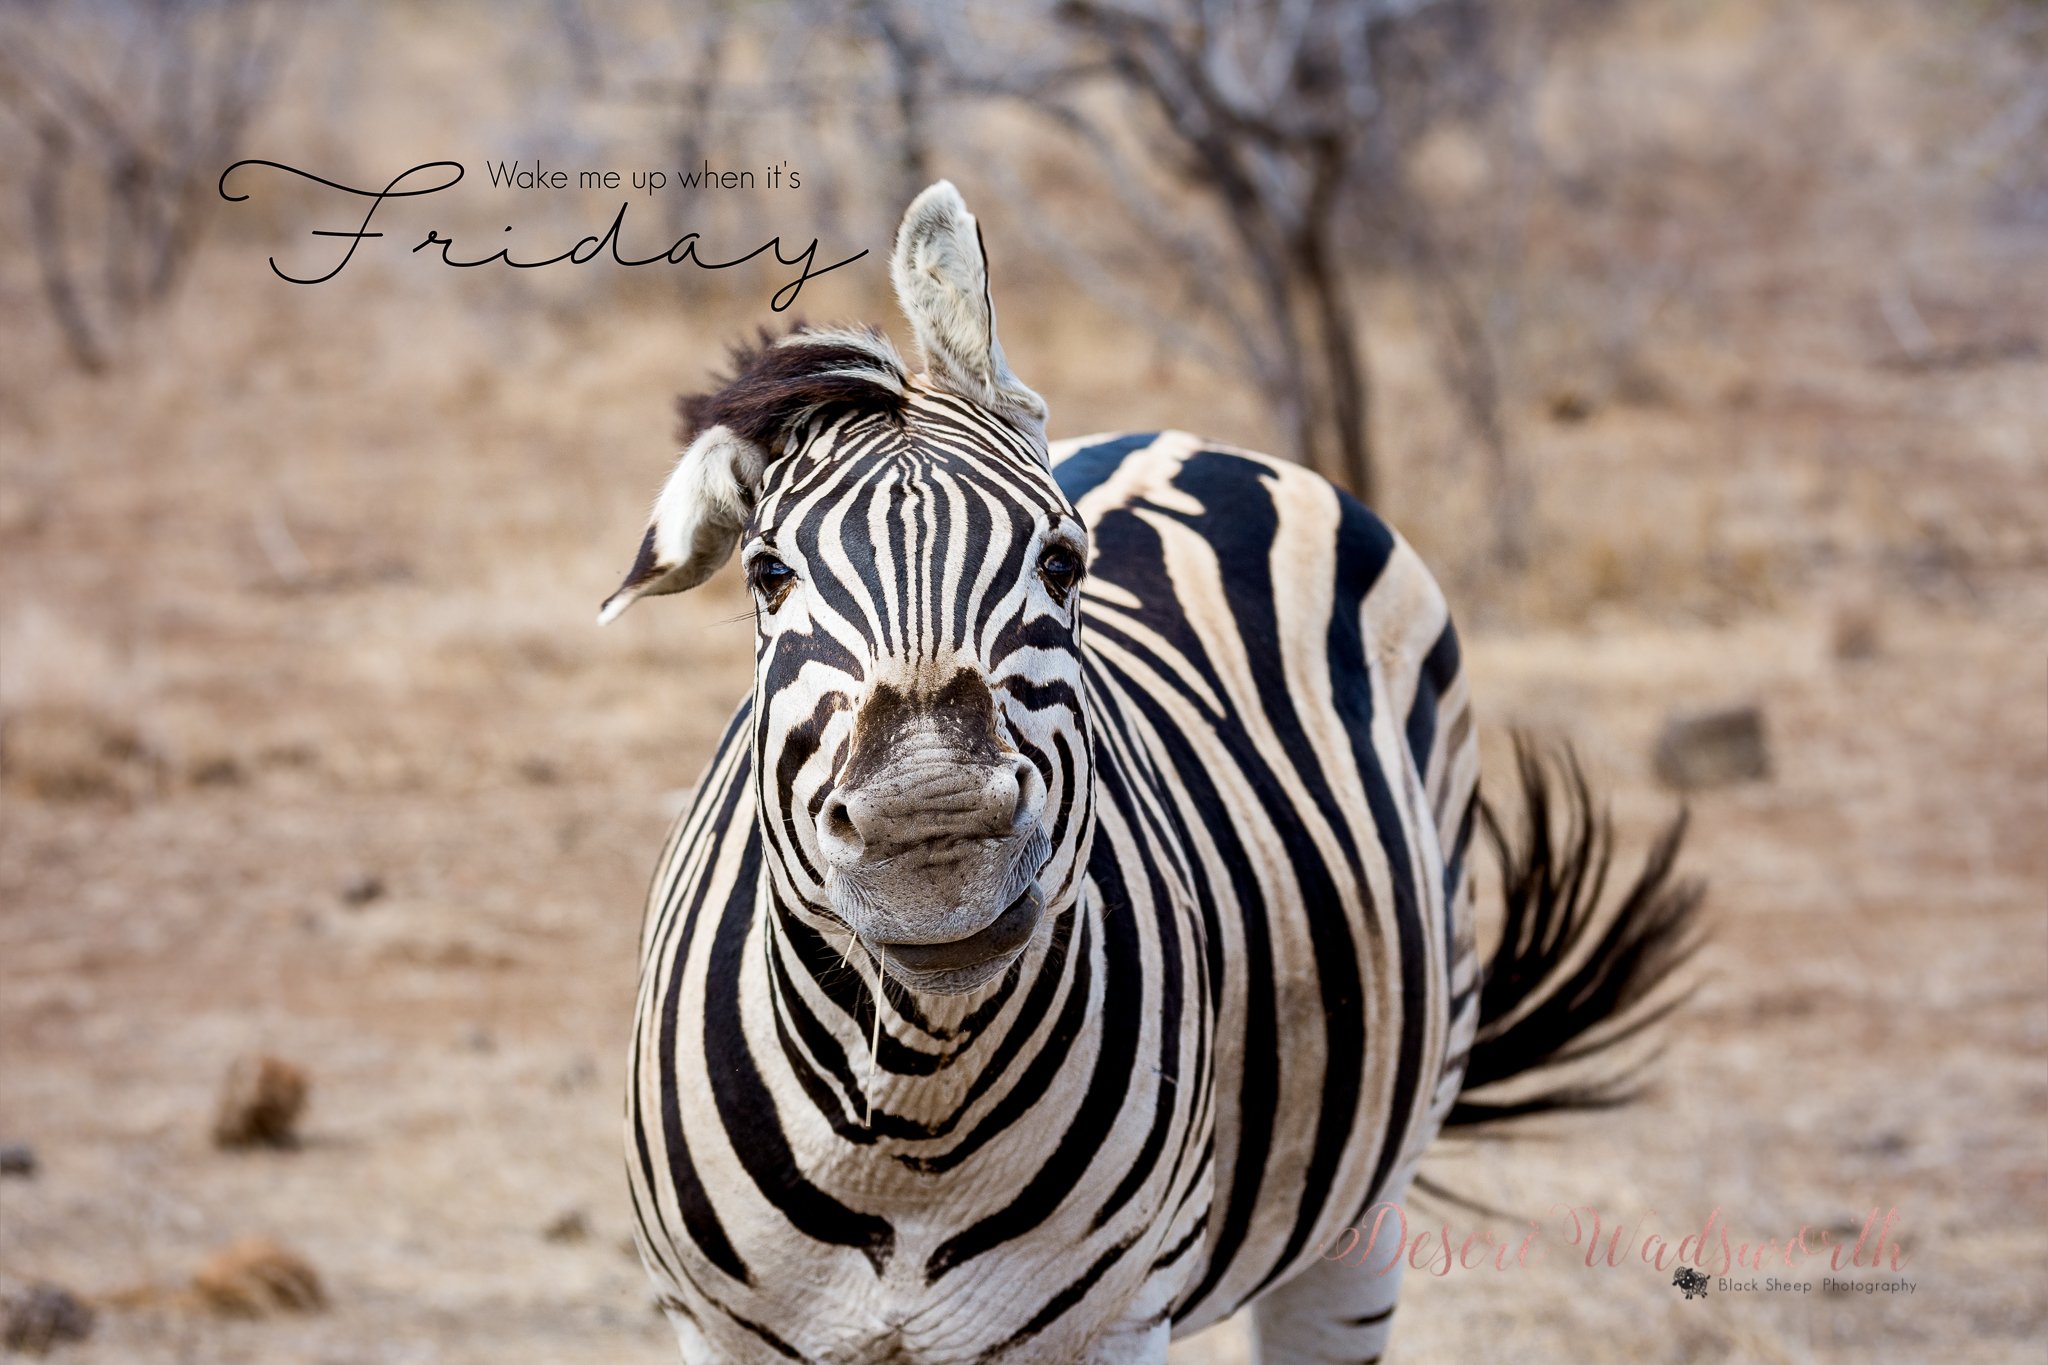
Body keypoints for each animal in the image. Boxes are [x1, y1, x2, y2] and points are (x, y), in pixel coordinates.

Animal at [600, 181, 1700, 1364]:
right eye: (767, 574)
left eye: (1061, 562)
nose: (931, 836)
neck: (908, 1120)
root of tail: (1182, 439)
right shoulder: (721, 1331)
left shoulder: (1112, 1321)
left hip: (1362, 1215)